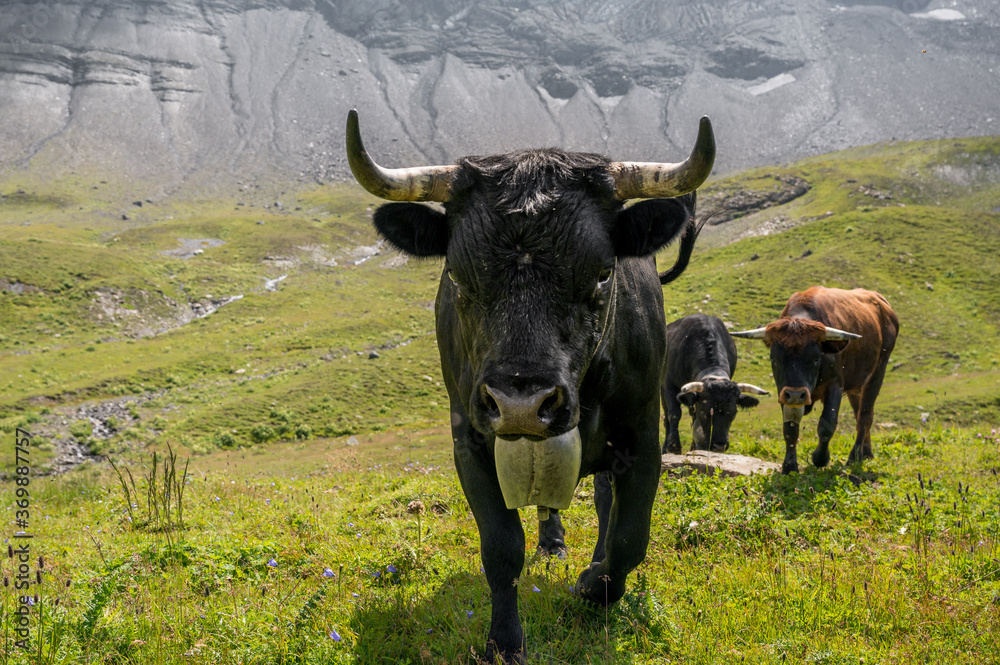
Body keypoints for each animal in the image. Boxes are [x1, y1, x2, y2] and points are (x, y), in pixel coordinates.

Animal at [345, 109, 715, 663]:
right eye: (457, 276)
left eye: (602, 273)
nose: (520, 404)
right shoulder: (470, 440)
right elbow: (501, 547)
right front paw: (504, 642)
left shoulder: (642, 438)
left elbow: (629, 538)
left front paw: (591, 586)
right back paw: (553, 544)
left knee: (604, 504)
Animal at [661, 314, 768, 454]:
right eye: (704, 411)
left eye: (733, 412)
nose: (719, 446)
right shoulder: (669, 386)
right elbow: (674, 414)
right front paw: (673, 447)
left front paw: (695, 447)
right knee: (667, 417)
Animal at [731, 287, 899, 474]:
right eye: (774, 359)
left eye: (816, 359)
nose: (796, 395)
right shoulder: (784, 392)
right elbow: (790, 428)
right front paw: (789, 466)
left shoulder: (835, 385)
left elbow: (827, 423)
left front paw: (820, 458)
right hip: (855, 385)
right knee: (859, 412)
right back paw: (867, 453)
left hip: (878, 371)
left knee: (865, 415)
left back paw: (854, 457)